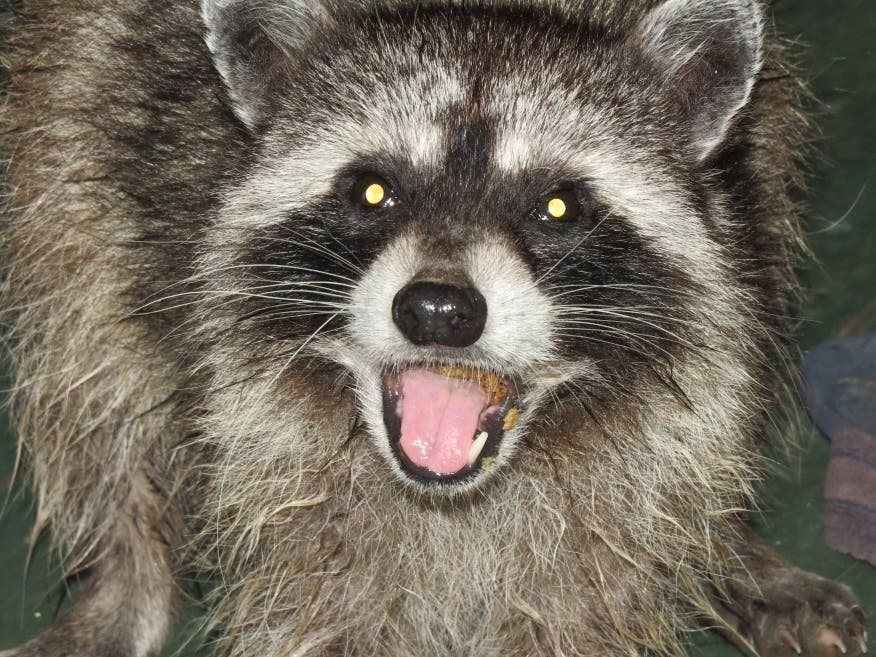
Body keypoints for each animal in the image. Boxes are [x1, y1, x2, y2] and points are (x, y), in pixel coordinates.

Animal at [0, 0, 869, 656]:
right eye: (371, 190)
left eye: (557, 206)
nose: (439, 311)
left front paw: (713, 540)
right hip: (74, 108)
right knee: (85, 345)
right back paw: (129, 572)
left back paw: (725, 541)